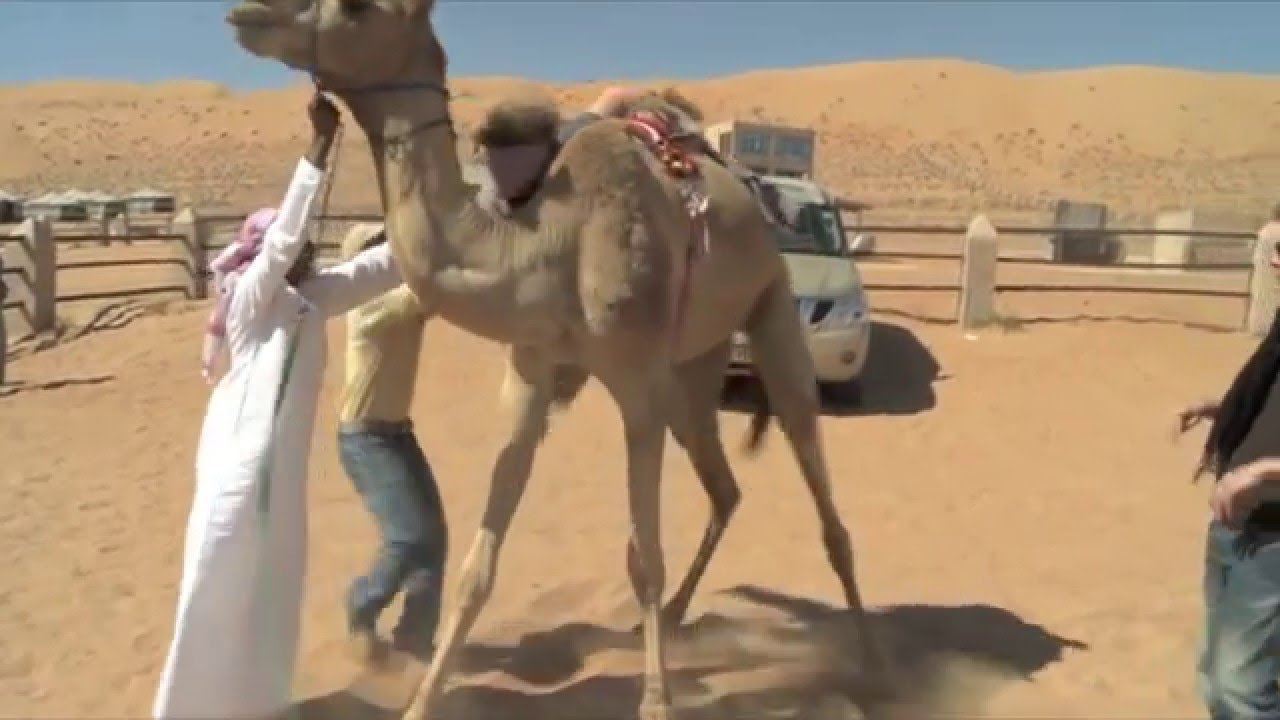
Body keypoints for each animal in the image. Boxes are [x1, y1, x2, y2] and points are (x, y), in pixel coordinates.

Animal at [227, 1, 880, 718]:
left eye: (358, 8)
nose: (250, 13)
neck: (548, 246)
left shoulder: (635, 383)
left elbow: (643, 556)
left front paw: (657, 702)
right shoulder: (532, 371)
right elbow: (478, 567)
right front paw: (421, 701)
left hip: (769, 309)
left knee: (816, 477)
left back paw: (874, 668)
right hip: (693, 365)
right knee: (724, 483)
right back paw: (678, 615)